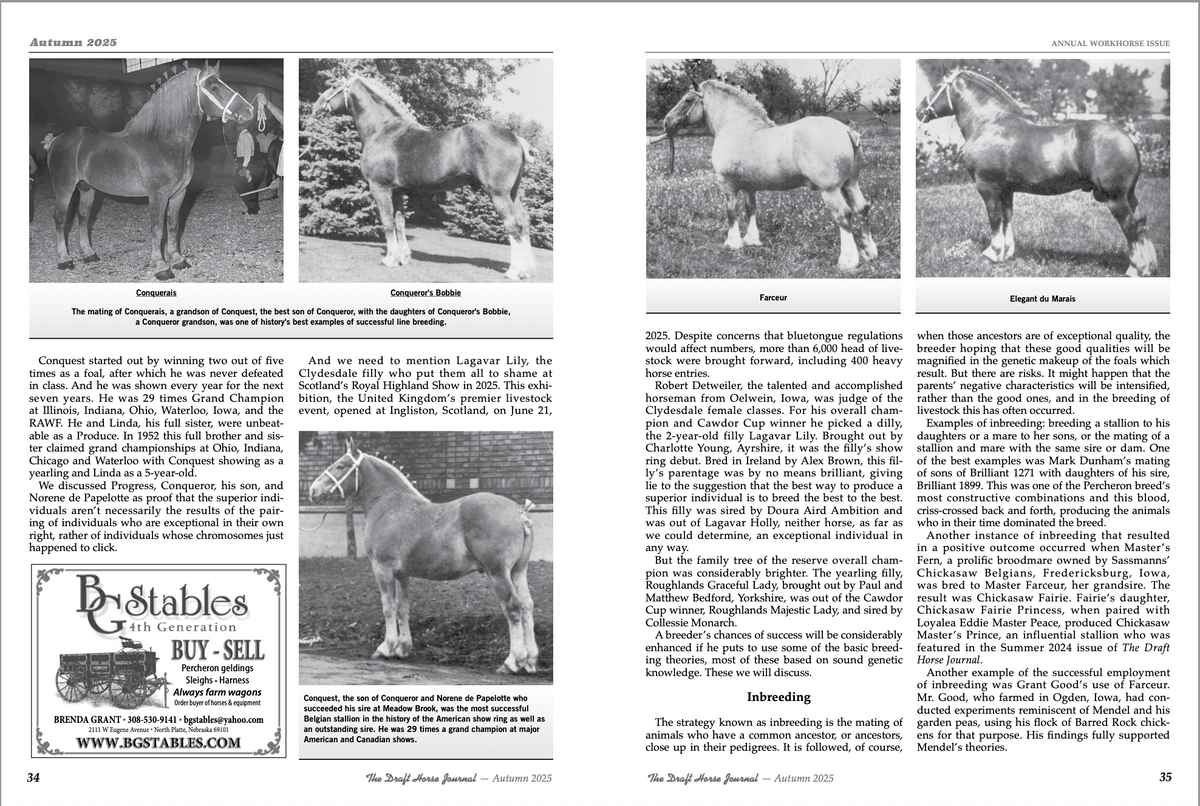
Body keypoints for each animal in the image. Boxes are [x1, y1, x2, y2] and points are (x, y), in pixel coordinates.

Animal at [44, 62, 253, 280]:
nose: (249, 109)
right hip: (64, 188)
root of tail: (57, 140)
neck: (164, 142)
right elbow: (157, 229)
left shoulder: (179, 193)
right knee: (60, 219)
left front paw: (178, 260)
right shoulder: (158, 195)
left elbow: (173, 226)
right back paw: (64, 259)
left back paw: (89, 254)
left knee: (83, 217)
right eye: (214, 88)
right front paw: (161, 267)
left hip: (87, 189)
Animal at [308, 439, 538, 674]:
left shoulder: (383, 569)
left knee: (513, 607)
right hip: (518, 572)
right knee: (527, 606)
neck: (388, 504)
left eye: (340, 465)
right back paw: (530, 661)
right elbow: (402, 608)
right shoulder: (402, 574)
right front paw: (402, 648)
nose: (313, 490)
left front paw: (386, 647)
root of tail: (520, 513)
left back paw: (512, 661)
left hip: (498, 574)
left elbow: (388, 607)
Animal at [313, 74, 538, 280]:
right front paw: (404, 258)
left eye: (333, 85)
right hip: (513, 193)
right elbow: (400, 222)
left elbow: (387, 222)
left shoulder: (380, 188)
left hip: (499, 194)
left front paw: (390, 259)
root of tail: (515, 138)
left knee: (513, 225)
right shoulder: (397, 192)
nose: (316, 106)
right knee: (524, 222)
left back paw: (514, 271)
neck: (384, 131)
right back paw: (528, 269)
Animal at [663, 79, 877, 272]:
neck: (737, 126)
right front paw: (751, 240)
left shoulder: (727, 185)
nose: (666, 122)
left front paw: (732, 243)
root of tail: (847, 130)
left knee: (844, 214)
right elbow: (751, 209)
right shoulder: (750, 187)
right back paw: (869, 252)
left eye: (687, 99)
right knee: (861, 209)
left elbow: (731, 212)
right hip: (851, 184)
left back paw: (847, 261)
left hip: (830, 190)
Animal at [916, 69, 1157, 277]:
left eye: (936, 87)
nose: (919, 111)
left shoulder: (987, 186)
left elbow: (994, 218)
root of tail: (1128, 136)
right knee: (1141, 222)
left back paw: (1134, 269)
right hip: (1129, 195)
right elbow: (1007, 218)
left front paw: (992, 254)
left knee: (1130, 227)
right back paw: (1148, 266)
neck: (990, 124)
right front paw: (1006, 254)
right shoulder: (1006, 189)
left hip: (1115, 198)